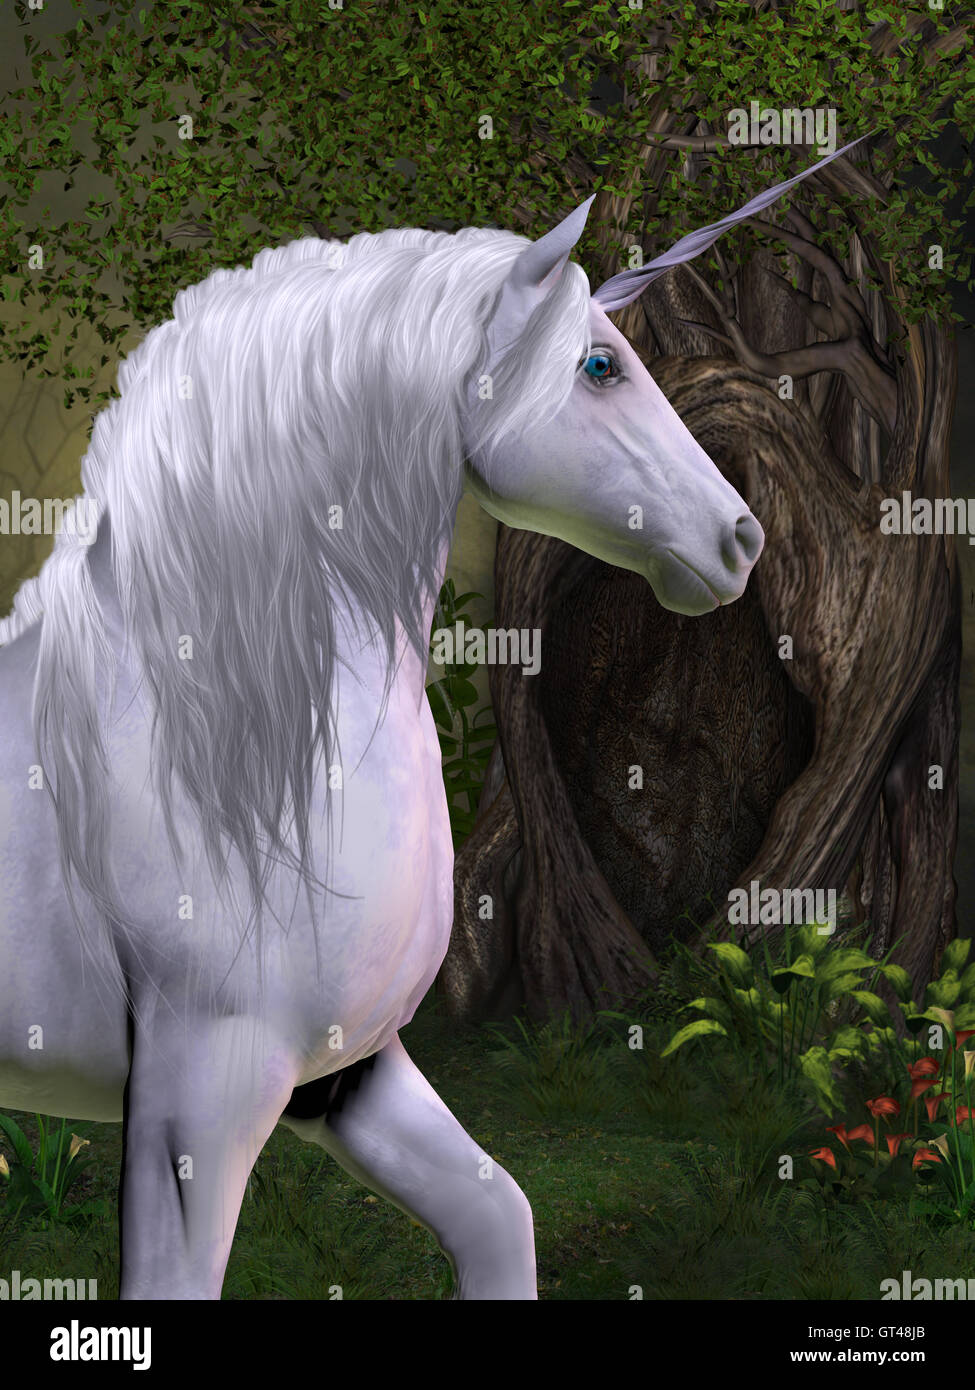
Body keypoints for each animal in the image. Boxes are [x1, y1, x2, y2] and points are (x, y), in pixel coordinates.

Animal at [0, 140, 861, 1299]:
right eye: (599, 367)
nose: (741, 538)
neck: (220, 752)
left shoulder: (350, 1077)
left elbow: (501, 1217)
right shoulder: (199, 1093)